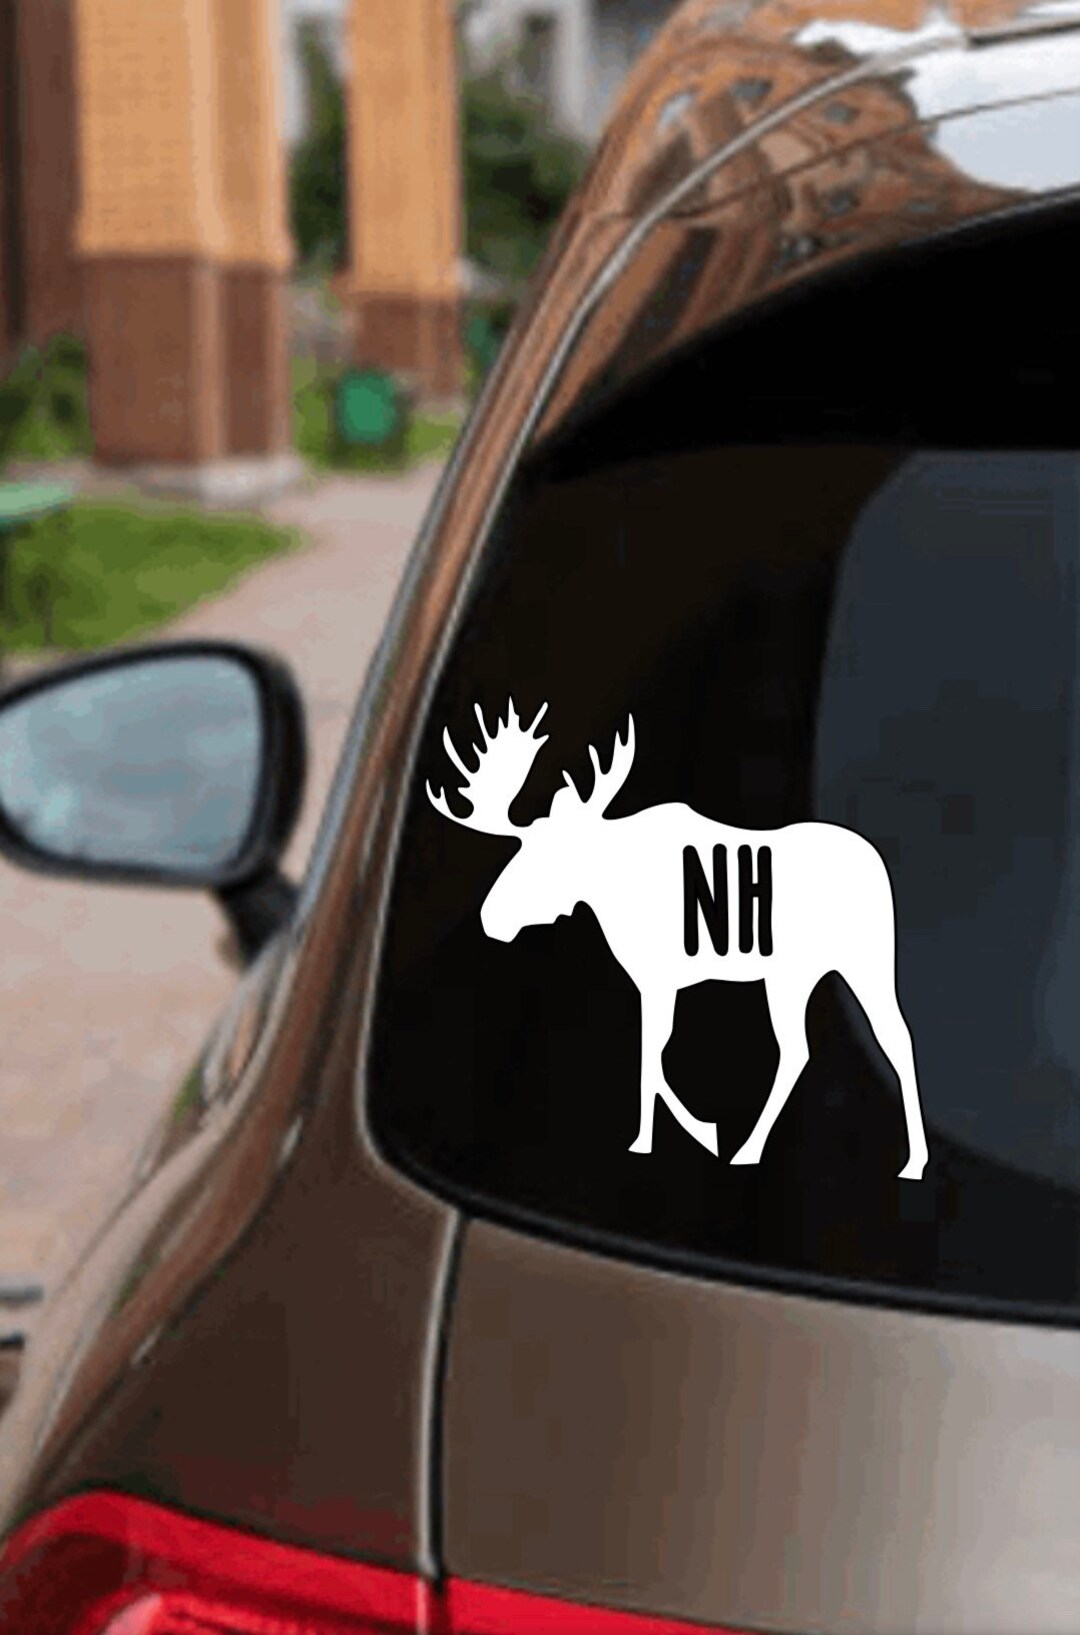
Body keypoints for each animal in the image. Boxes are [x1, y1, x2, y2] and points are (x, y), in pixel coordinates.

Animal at [427, 701, 929, 1181]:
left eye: (549, 858)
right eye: (520, 850)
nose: (490, 917)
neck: (613, 893)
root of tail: (875, 861)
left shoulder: (658, 977)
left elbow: (652, 1052)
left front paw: (672, 1136)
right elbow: (656, 1052)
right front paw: (696, 1131)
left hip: (838, 967)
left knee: (856, 1041)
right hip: (824, 972)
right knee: (846, 1042)